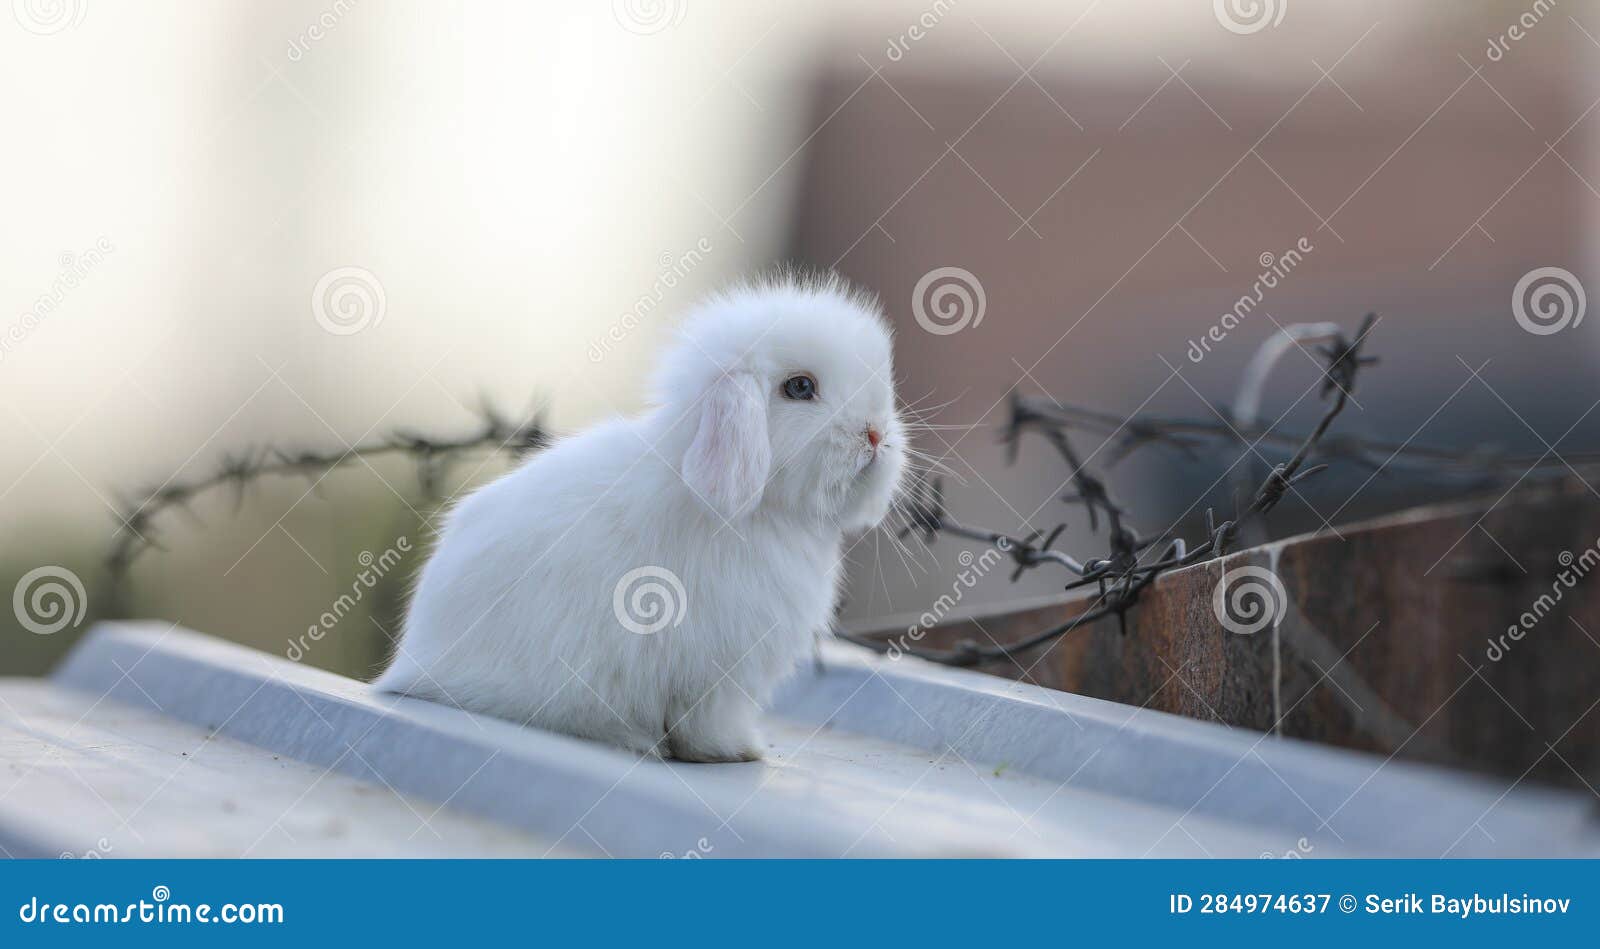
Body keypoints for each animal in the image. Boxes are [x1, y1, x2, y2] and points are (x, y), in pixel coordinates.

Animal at [373, 274, 907, 762]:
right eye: (800, 387)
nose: (876, 435)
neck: (764, 513)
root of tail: (411, 666)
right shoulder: (715, 671)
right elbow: (708, 719)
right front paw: (738, 750)